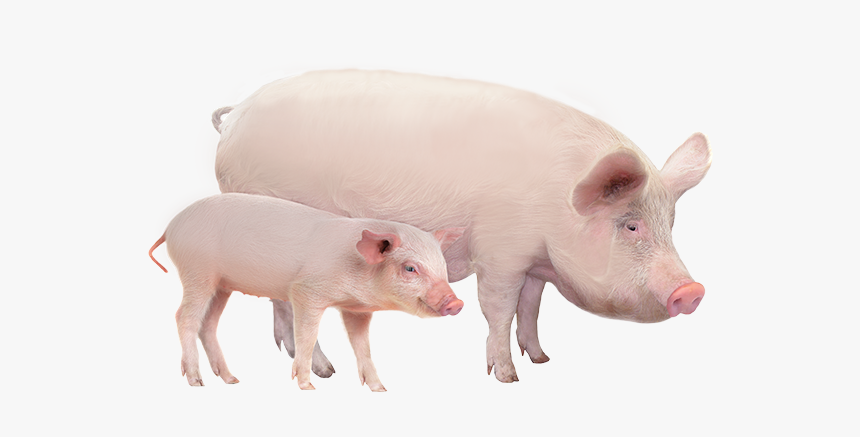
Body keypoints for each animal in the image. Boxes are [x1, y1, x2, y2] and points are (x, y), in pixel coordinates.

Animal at [149, 193, 465, 391]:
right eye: (410, 268)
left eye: (442, 267)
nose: (457, 303)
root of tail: (171, 226)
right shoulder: (306, 291)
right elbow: (307, 335)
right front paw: (308, 385)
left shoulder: (355, 310)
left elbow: (362, 346)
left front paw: (380, 389)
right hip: (197, 272)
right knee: (184, 317)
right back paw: (196, 381)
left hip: (222, 285)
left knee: (208, 324)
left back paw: (231, 380)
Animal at [211, 69, 712, 383]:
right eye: (631, 226)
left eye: (671, 223)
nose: (692, 291)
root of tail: (236, 115)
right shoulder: (500, 253)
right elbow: (499, 309)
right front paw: (508, 377)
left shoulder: (534, 262)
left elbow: (531, 307)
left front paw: (542, 359)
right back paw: (325, 371)